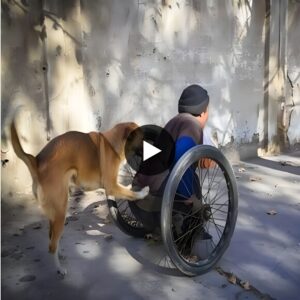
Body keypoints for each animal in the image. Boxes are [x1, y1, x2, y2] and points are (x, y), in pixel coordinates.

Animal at [10, 120, 149, 276]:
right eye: (142, 139)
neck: (113, 143)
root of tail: (36, 161)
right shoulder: (111, 186)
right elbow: (130, 193)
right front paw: (143, 192)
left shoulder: (111, 188)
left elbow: (125, 191)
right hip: (60, 210)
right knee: (52, 245)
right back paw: (59, 269)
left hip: (54, 213)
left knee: (52, 238)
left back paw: (59, 254)